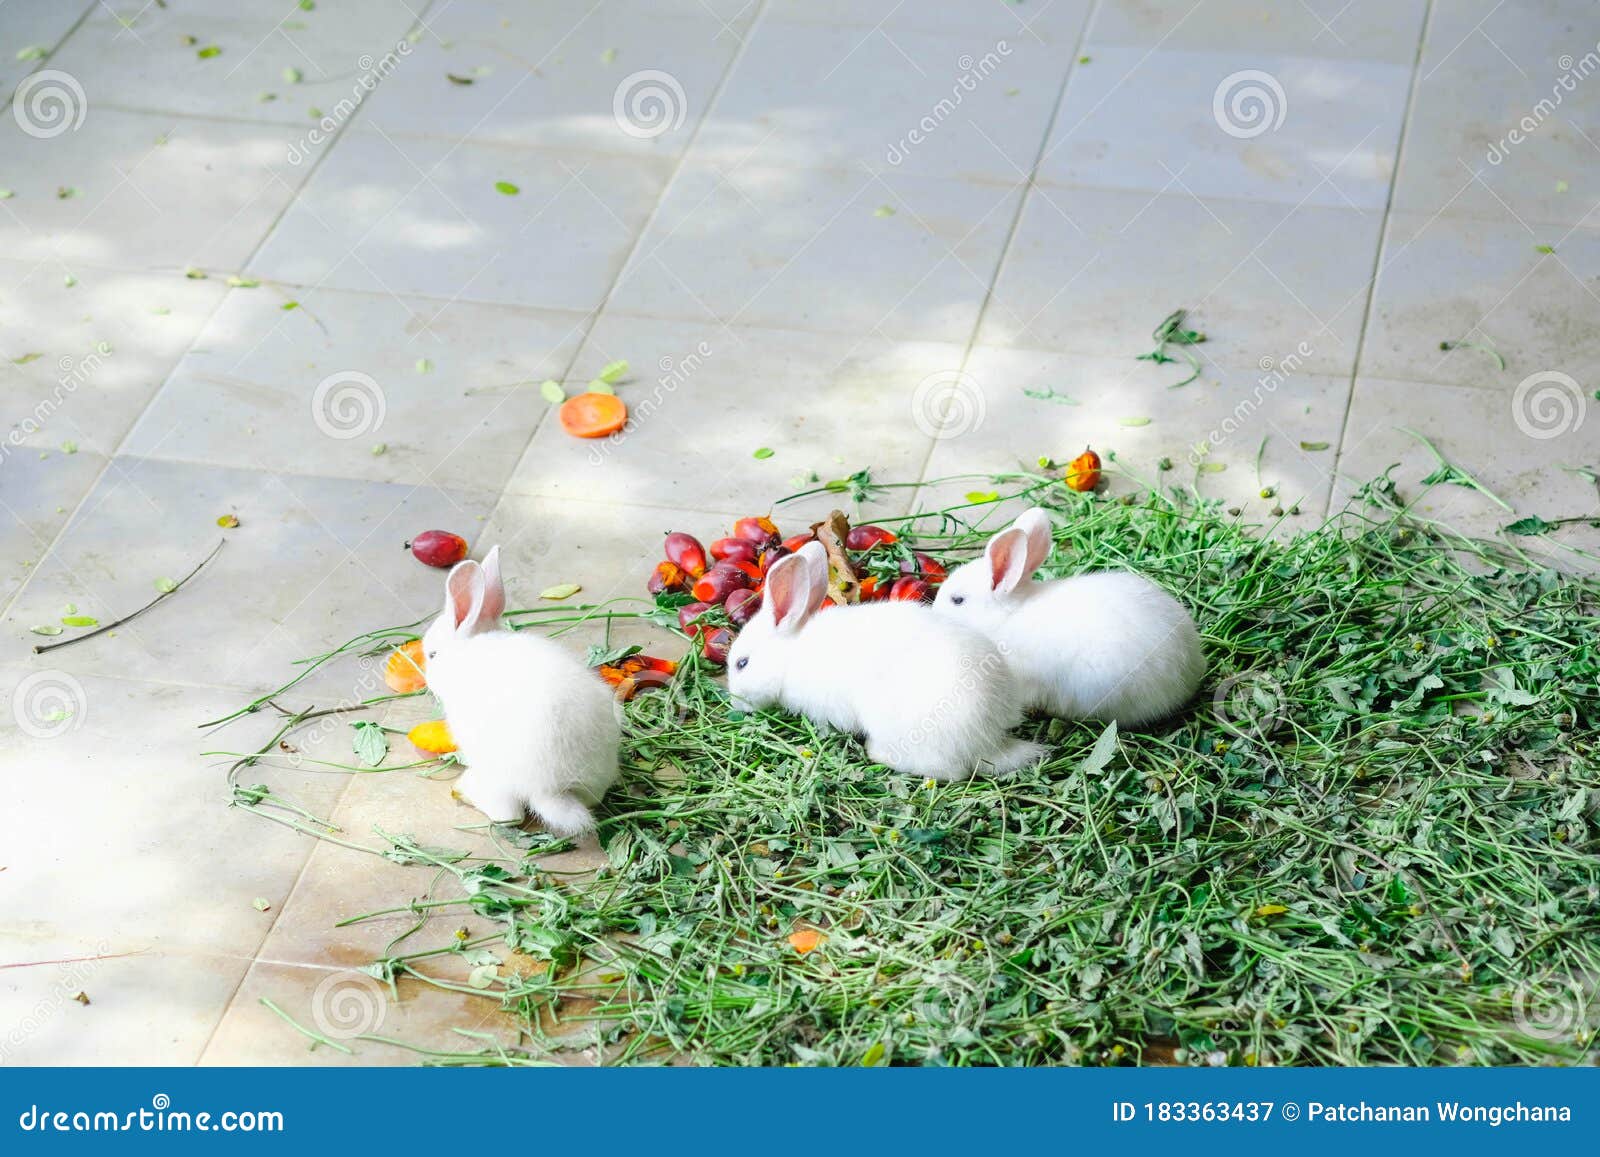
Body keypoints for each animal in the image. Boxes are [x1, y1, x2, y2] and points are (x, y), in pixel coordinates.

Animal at [726, 541, 1045, 780]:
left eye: (742, 663)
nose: (735, 702)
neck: (789, 656)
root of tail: (991, 741)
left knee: (950, 772)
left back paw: (875, 751)